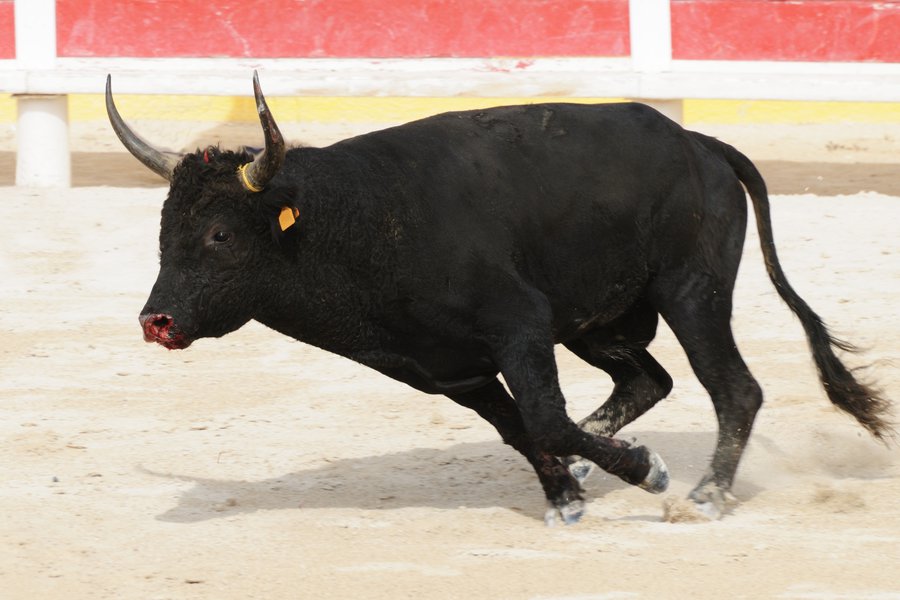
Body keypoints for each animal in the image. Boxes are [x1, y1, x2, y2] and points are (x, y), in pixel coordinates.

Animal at [107, 72, 892, 525]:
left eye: (218, 235)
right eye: (162, 232)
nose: (157, 321)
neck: (357, 221)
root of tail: (700, 143)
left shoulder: (520, 327)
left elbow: (543, 418)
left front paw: (643, 471)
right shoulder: (450, 370)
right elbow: (523, 429)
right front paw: (568, 495)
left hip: (692, 293)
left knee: (734, 388)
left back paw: (703, 497)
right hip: (598, 321)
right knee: (647, 379)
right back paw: (610, 460)